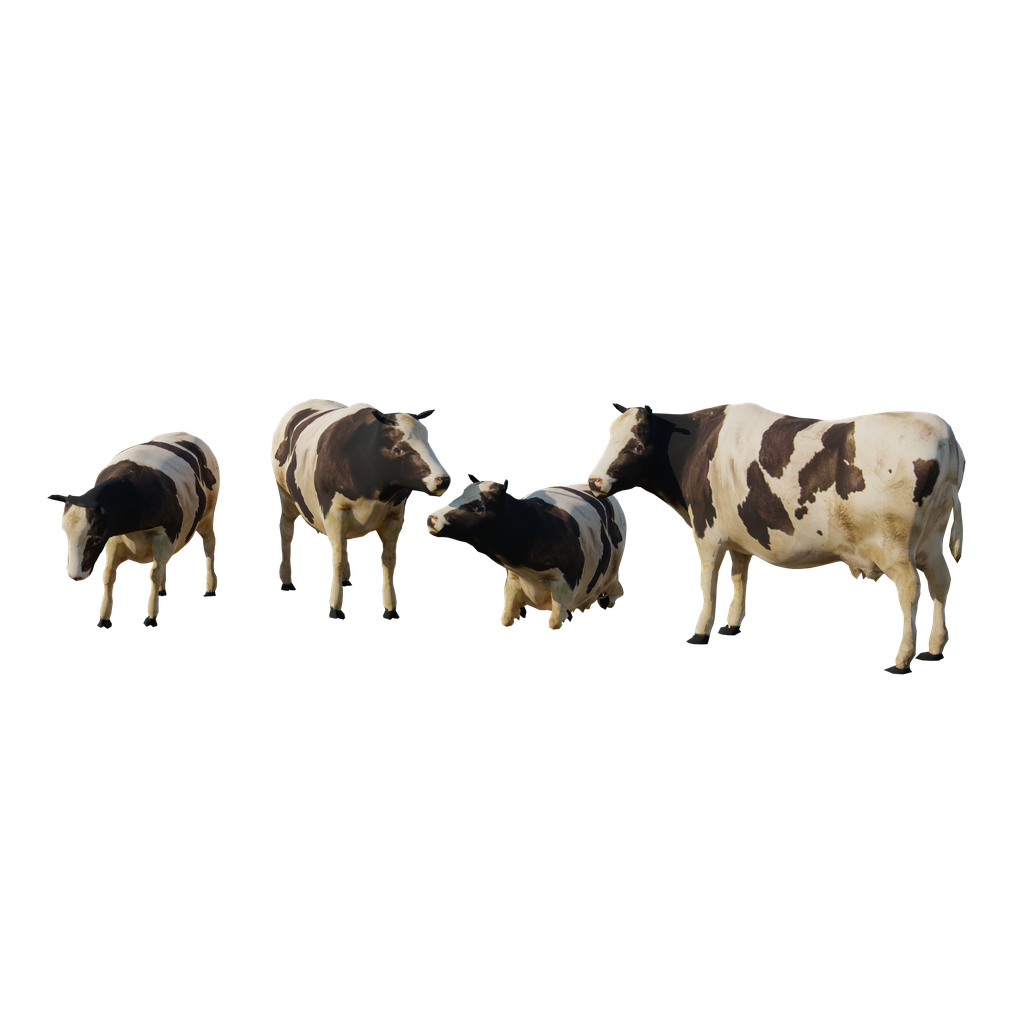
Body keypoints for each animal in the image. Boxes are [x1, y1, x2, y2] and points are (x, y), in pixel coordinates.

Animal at [48, 431, 221, 628]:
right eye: (65, 534)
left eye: (96, 539)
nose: (74, 574)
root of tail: (185, 433)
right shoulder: (114, 537)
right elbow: (108, 574)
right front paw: (103, 618)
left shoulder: (164, 535)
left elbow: (154, 574)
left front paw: (151, 616)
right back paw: (162, 590)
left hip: (207, 517)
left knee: (208, 548)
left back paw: (210, 589)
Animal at [270, 399, 451, 620]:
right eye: (398, 449)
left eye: (427, 440)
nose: (443, 479)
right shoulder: (334, 513)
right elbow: (337, 559)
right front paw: (334, 607)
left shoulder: (395, 517)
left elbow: (389, 561)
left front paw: (390, 608)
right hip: (286, 496)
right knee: (287, 533)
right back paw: (286, 579)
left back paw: (345, 578)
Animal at [424, 478, 628, 630]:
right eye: (459, 495)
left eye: (478, 508)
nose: (432, 519)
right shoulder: (515, 577)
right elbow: (506, 617)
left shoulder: (568, 580)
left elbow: (554, 622)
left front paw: (564, 616)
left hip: (612, 571)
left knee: (614, 589)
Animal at [587, 402, 965, 674]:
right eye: (609, 434)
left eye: (636, 444)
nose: (594, 481)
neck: (696, 443)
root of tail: (940, 427)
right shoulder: (739, 538)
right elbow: (739, 577)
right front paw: (732, 624)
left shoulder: (708, 535)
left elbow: (707, 585)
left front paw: (700, 631)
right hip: (930, 543)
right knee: (941, 582)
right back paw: (934, 648)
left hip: (895, 549)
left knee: (911, 590)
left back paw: (902, 659)